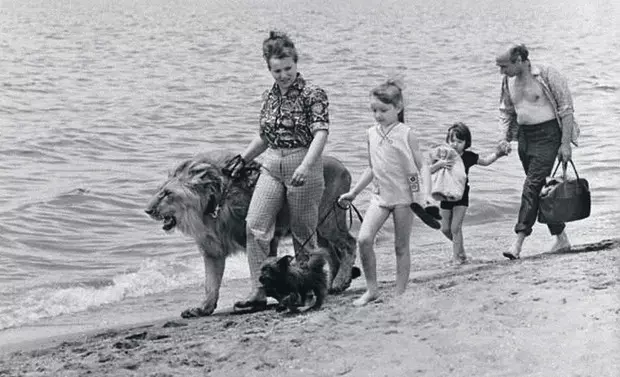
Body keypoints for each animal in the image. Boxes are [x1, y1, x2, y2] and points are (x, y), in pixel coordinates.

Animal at [145, 150, 358, 318]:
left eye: (167, 193)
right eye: (159, 192)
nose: (147, 210)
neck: (209, 209)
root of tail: (343, 166)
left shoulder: (267, 237)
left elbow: (259, 270)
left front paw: (257, 301)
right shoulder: (213, 251)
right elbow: (210, 284)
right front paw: (203, 309)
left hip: (329, 221)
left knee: (349, 243)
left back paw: (339, 282)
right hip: (319, 229)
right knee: (329, 255)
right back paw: (332, 284)